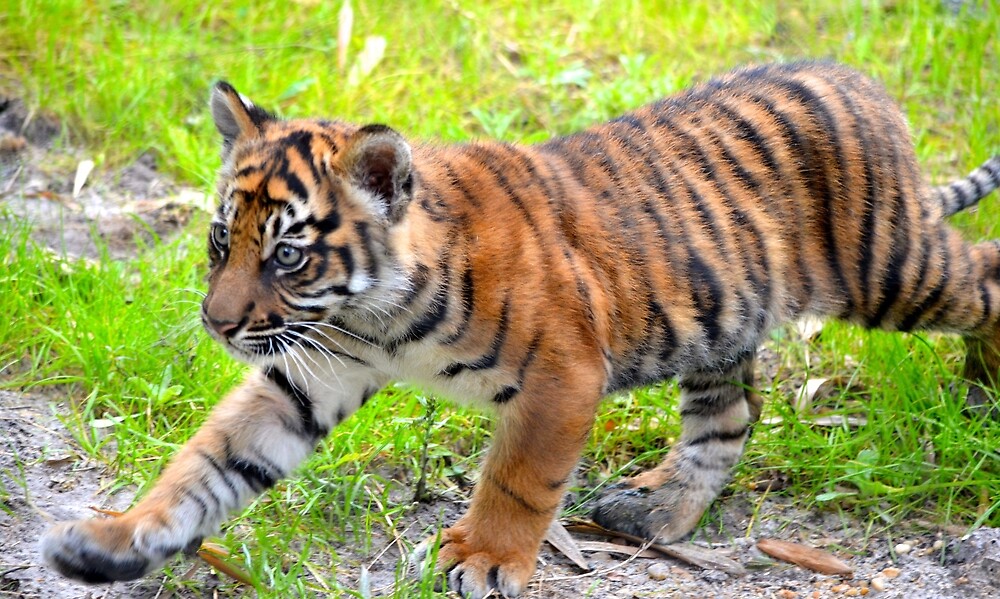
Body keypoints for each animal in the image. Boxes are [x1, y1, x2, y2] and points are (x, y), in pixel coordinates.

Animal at [41, 62, 1000, 598]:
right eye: (219, 241)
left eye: (286, 256)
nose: (217, 322)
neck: (374, 315)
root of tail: (858, 79)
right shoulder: (302, 376)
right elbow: (207, 465)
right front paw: (115, 541)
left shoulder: (563, 373)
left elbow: (518, 477)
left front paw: (487, 560)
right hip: (723, 323)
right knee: (727, 421)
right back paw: (657, 508)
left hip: (891, 270)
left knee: (986, 271)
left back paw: (985, 390)